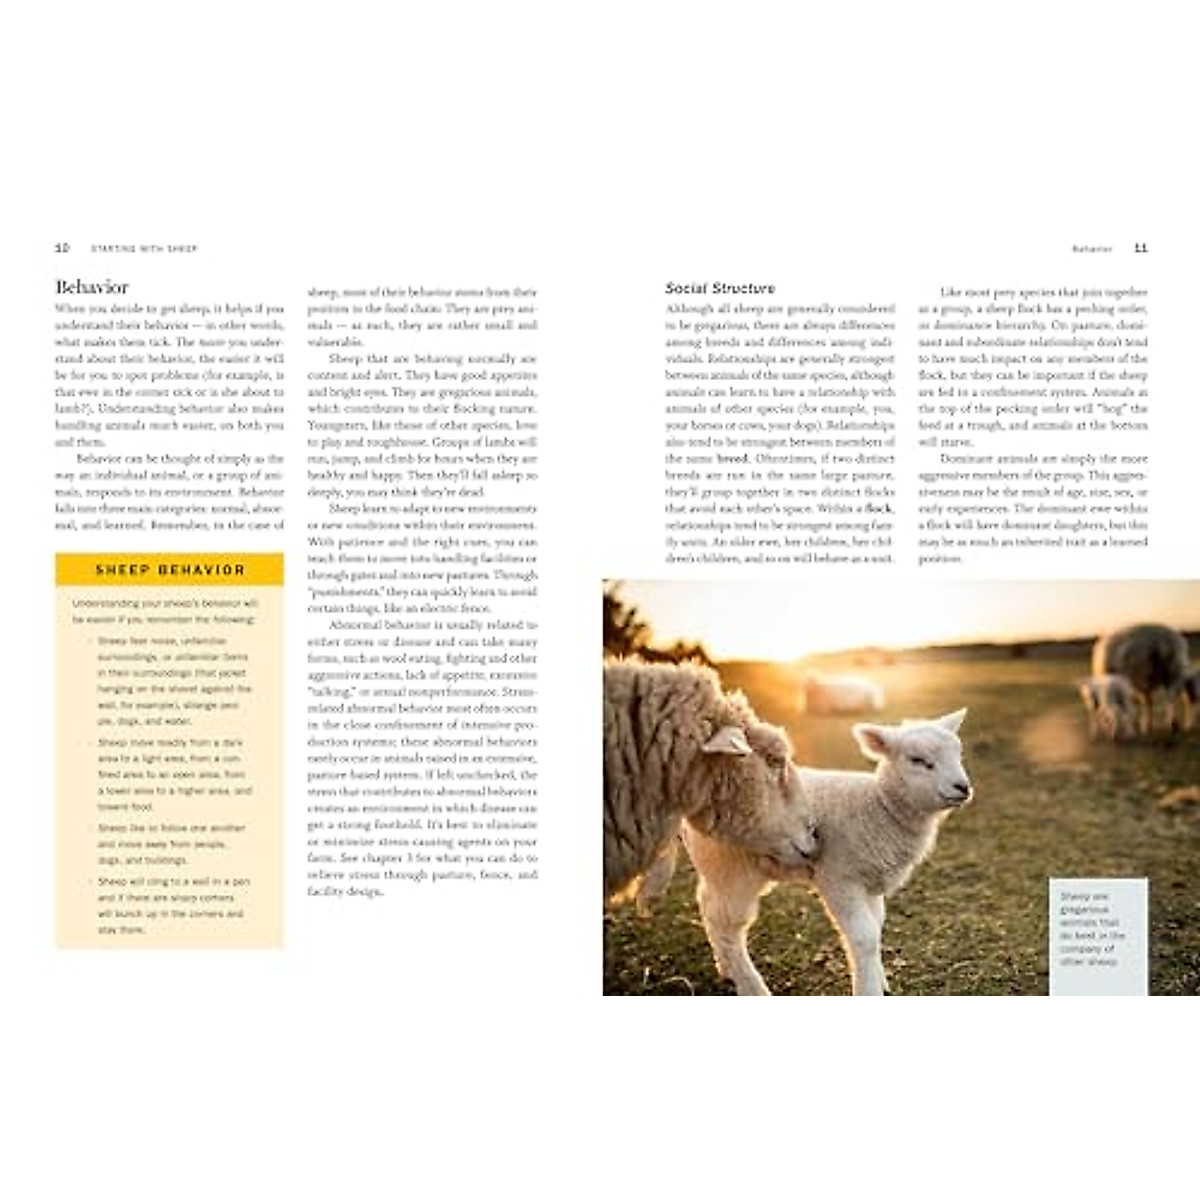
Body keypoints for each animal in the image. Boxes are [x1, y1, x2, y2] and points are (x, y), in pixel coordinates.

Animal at [676, 709, 972, 995]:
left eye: (958, 754)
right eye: (917, 760)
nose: (963, 787)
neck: (879, 808)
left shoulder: (870, 883)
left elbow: (876, 928)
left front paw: (879, 980)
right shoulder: (840, 879)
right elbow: (865, 937)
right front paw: (868, 991)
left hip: (719, 868)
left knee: (708, 905)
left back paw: (726, 969)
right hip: (733, 868)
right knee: (727, 925)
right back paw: (751, 986)